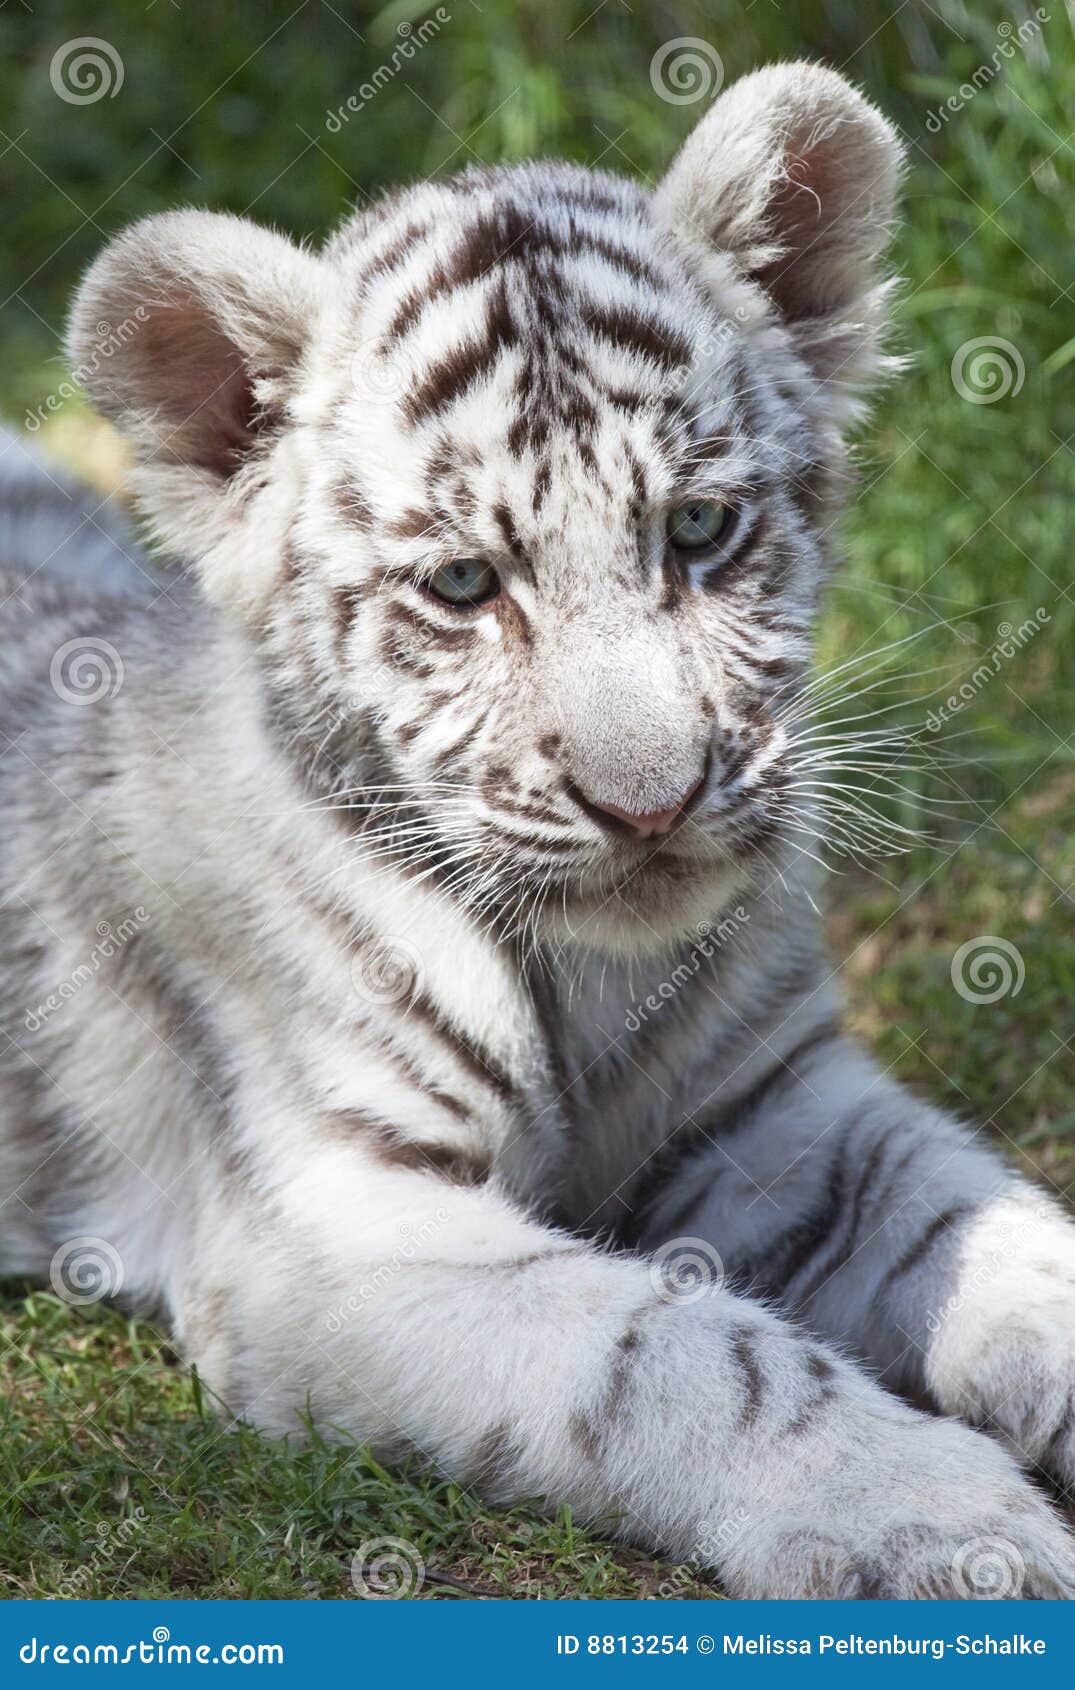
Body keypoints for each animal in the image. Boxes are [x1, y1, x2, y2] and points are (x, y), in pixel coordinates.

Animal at [1, 61, 1074, 1600]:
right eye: (463, 585)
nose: (650, 799)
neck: (588, 978)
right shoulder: (333, 1222)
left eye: (699, 529)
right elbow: (675, 1350)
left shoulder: (776, 1109)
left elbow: (994, 1236)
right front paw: (938, 1517)